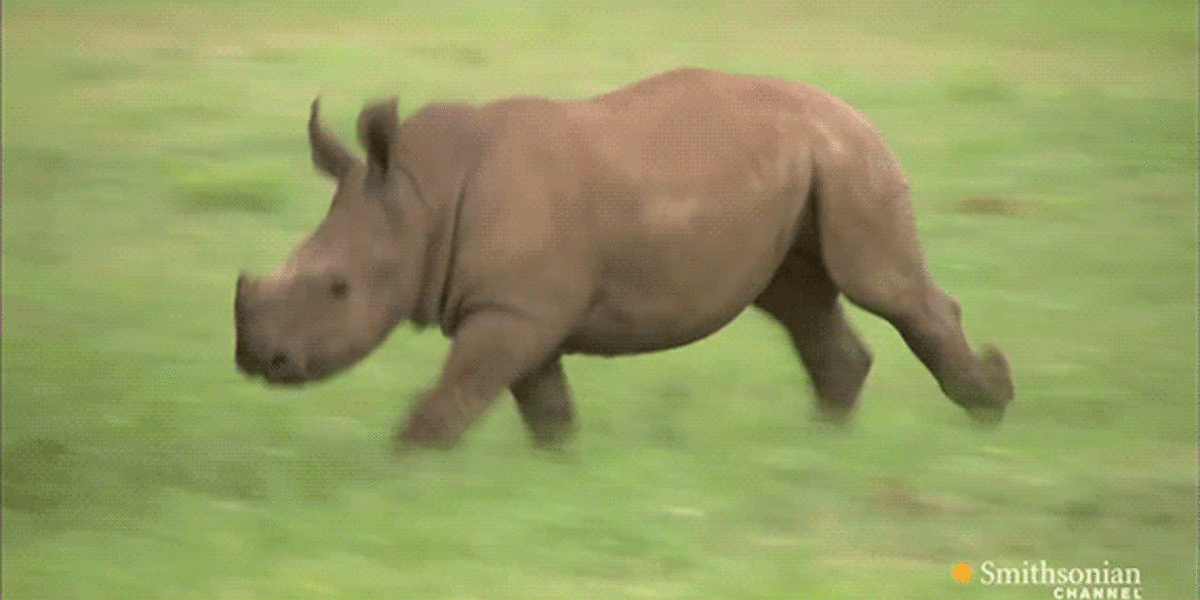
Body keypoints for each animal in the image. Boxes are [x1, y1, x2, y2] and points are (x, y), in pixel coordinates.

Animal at [234, 67, 1014, 451]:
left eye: (338, 287)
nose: (258, 362)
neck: (421, 195)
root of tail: (848, 107)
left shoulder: (513, 309)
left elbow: (458, 393)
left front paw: (404, 466)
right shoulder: (518, 308)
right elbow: (539, 405)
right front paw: (559, 471)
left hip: (851, 157)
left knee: (881, 287)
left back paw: (989, 411)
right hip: (804, 162)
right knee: (798, 301)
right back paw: (823, 444)